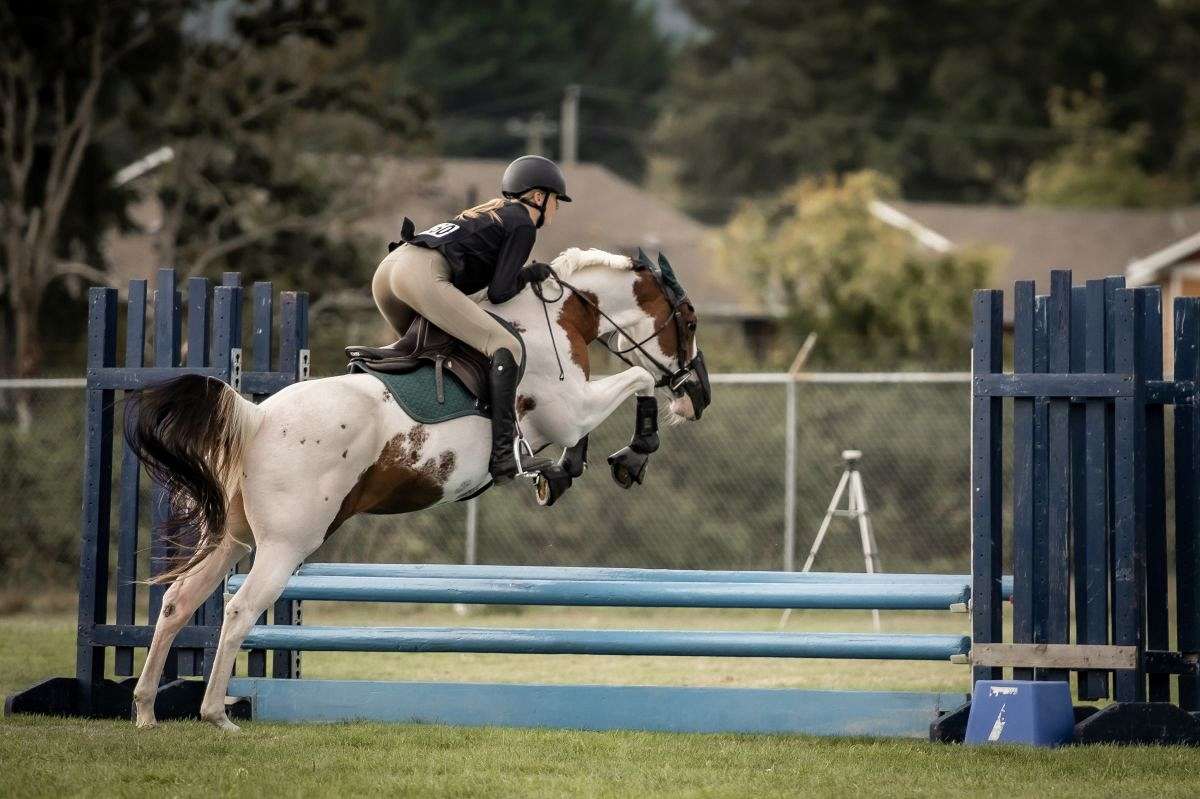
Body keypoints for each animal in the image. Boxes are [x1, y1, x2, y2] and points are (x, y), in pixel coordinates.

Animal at [125, 246, 711, 731]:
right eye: (688, 320)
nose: (697, 398)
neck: (558, 319)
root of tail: (257, 417)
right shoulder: (572, 409)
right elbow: (637, 381)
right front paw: (632, 454)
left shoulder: (569, 417)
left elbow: (596, 424)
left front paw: (562, 473)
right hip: (287, 544)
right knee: (239, 610)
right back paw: (215, 715)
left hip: (236, 536)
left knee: (179, 601)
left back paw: (148, 711)